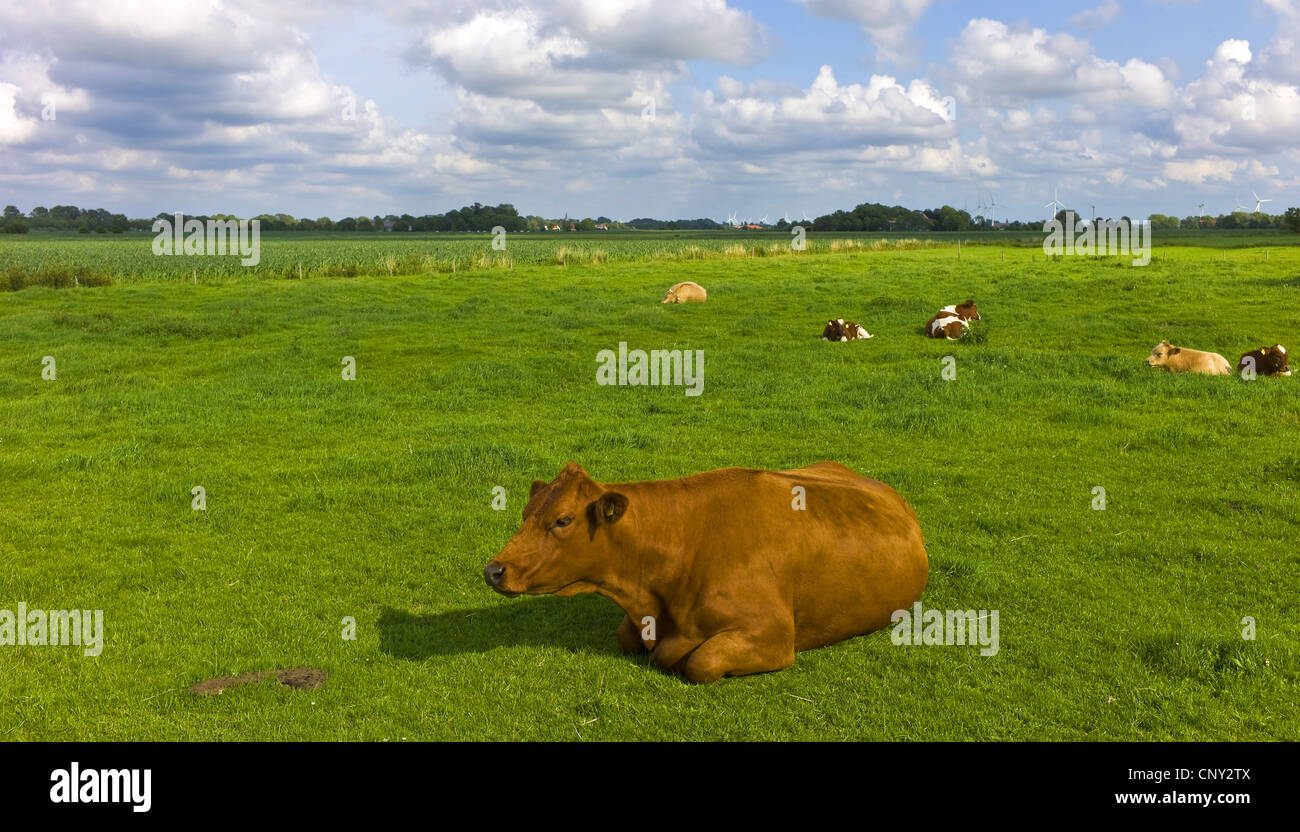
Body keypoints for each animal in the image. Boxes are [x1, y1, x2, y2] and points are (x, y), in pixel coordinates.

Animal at [483, 461, 929, 683]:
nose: (494, 570)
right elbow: (625, 636)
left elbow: (701, 662)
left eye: (562, 520)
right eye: (525, 513)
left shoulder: (773, 635)